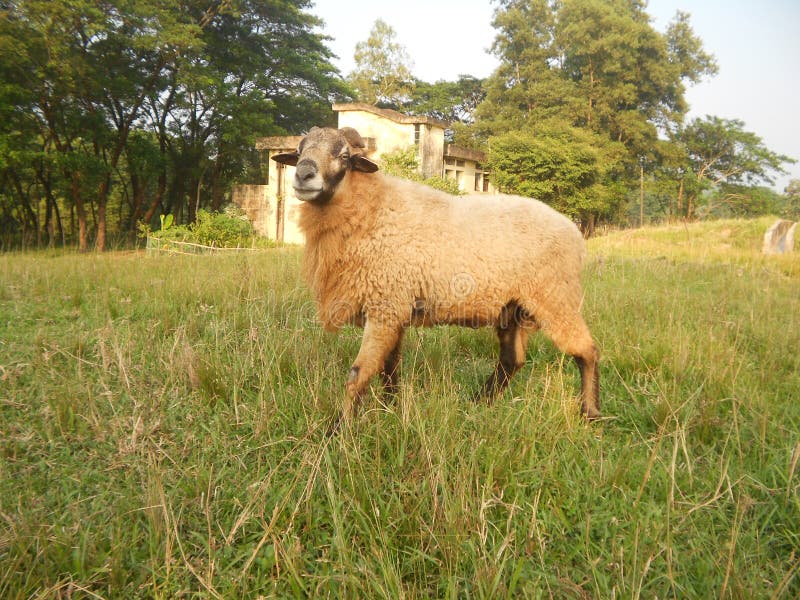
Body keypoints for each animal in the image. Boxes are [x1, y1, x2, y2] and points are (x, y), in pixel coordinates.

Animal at [272, 126, 600, 430]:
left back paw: (590, 413)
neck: (370, 208)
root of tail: (574, 233)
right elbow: (389, 368)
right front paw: (391, 409)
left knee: (586, 351)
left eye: (344, 156)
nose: (303, 174)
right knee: (512, 360)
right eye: (299, 152)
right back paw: (479, 402)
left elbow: (359, 372)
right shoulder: (394, 309)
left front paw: (339, 430)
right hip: (514, 307)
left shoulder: (385, 305)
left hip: (556, 297)